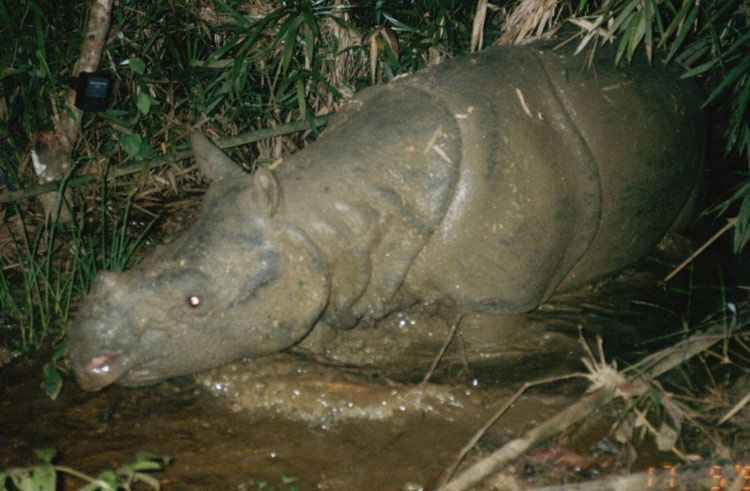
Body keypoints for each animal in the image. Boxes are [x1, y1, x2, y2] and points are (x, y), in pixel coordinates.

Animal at [69, 41, 705, 391]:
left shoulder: (498, 296)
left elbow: (484, 344)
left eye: (195, 302)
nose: (84, 359)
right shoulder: (326, 265)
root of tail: (679, 74)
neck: (319, 209)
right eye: (149, 254)